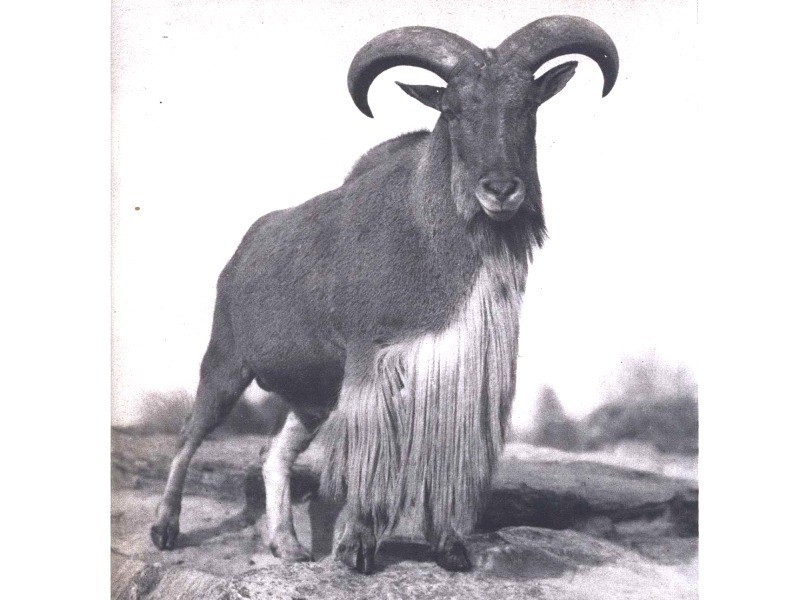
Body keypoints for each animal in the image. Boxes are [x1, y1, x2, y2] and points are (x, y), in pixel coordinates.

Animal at [150, 15, 619, 574]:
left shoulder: (454, 369)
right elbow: (368, 462)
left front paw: (450, 548)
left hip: (312, 397)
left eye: (527, 104)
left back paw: (287, 545)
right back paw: (165, 530)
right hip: (225, 362)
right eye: (453, 109)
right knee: (188, 436)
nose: (501, 190)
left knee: (274, 454)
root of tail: (240, 254)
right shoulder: (370, 362)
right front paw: (356, 550)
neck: (429, 235)